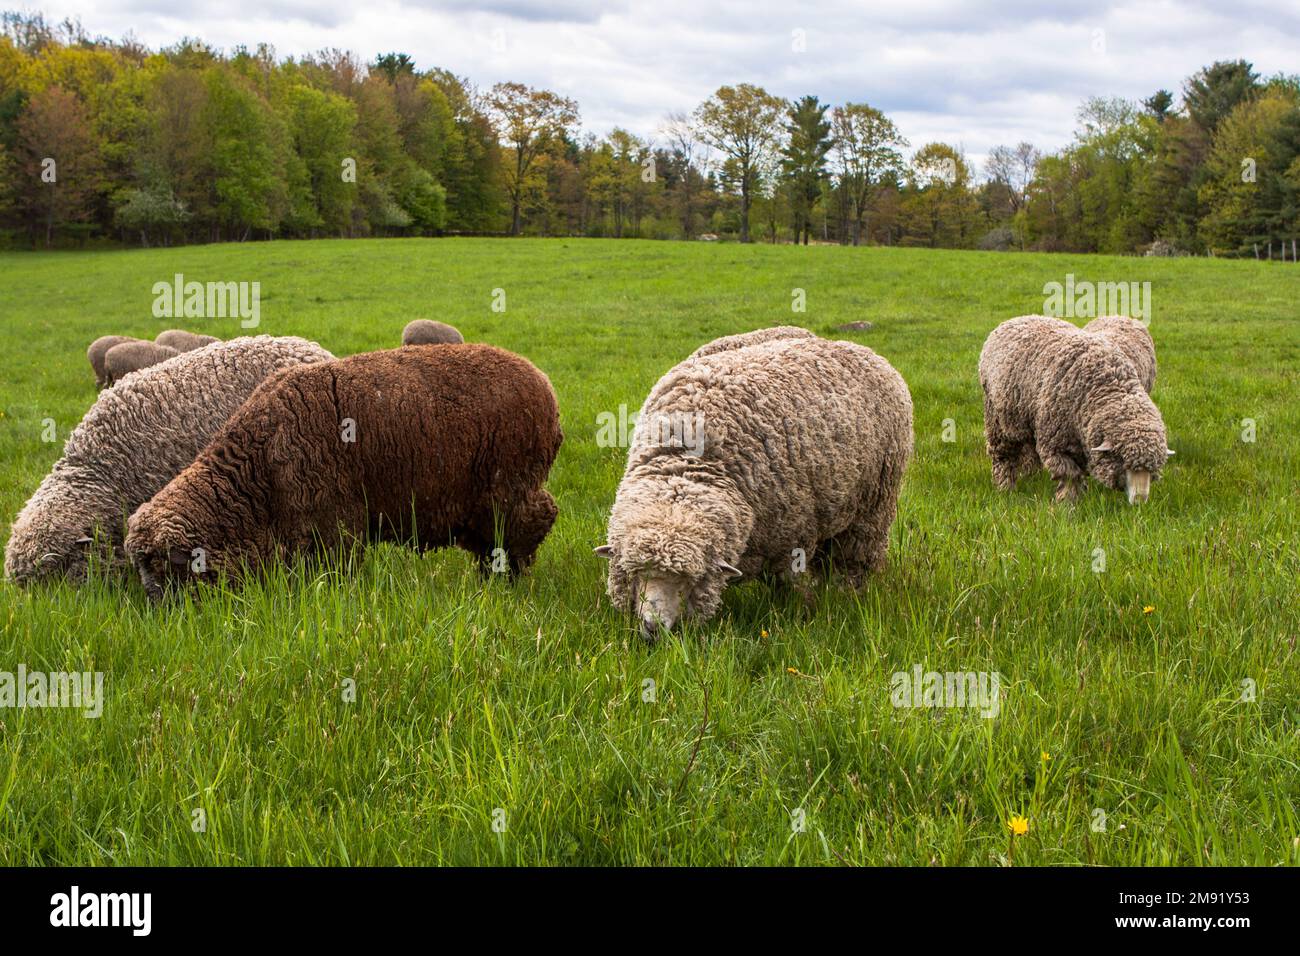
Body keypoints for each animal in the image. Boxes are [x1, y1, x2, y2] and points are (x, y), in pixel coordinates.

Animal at [125, 344, 562, 601]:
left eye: (166, 566)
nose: (158, 612)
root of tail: (544, 386)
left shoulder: (334, 528)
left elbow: (339, 575)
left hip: (509, 486)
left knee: (532, 523)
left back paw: (508, 582)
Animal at [595, 331, 913, 641]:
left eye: (687, 581)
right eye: (637, 573)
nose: (653, 629)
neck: (685, 460)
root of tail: (867, 352)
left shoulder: (789, 540)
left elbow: (786, 584)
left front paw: (793, 610)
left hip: (873, 506)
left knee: (854, 560)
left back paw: (847, 596)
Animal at [978, 315, 1173, 505]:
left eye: (1152, 470)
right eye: (1124, 463)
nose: (1140, 501)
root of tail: (1013, 320)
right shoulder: (1057, 443)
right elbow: (1069, 475)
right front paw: (1068, 502)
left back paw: (1030, 474)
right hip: (997, 419)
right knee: (1003, 456)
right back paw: (1005, 487)